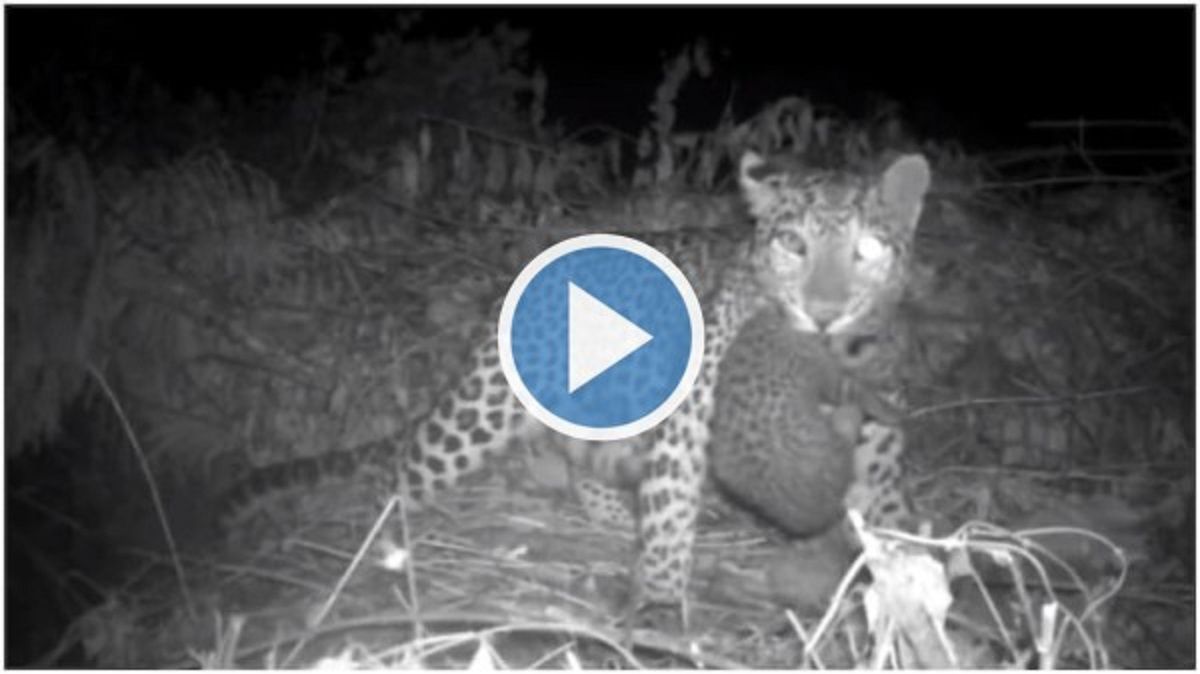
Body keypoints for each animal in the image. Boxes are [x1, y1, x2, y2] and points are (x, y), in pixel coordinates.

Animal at [219, 149, 931, 624]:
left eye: (868, 248)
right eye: (791, 243)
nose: (825, 311)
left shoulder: (878, 431)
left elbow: (890, 518)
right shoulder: (696, 411)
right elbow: (671, 504)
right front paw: (661, 605)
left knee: (587, 470)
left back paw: (621, 514)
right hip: (483, 408)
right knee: (404, 472)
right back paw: (368, 548)